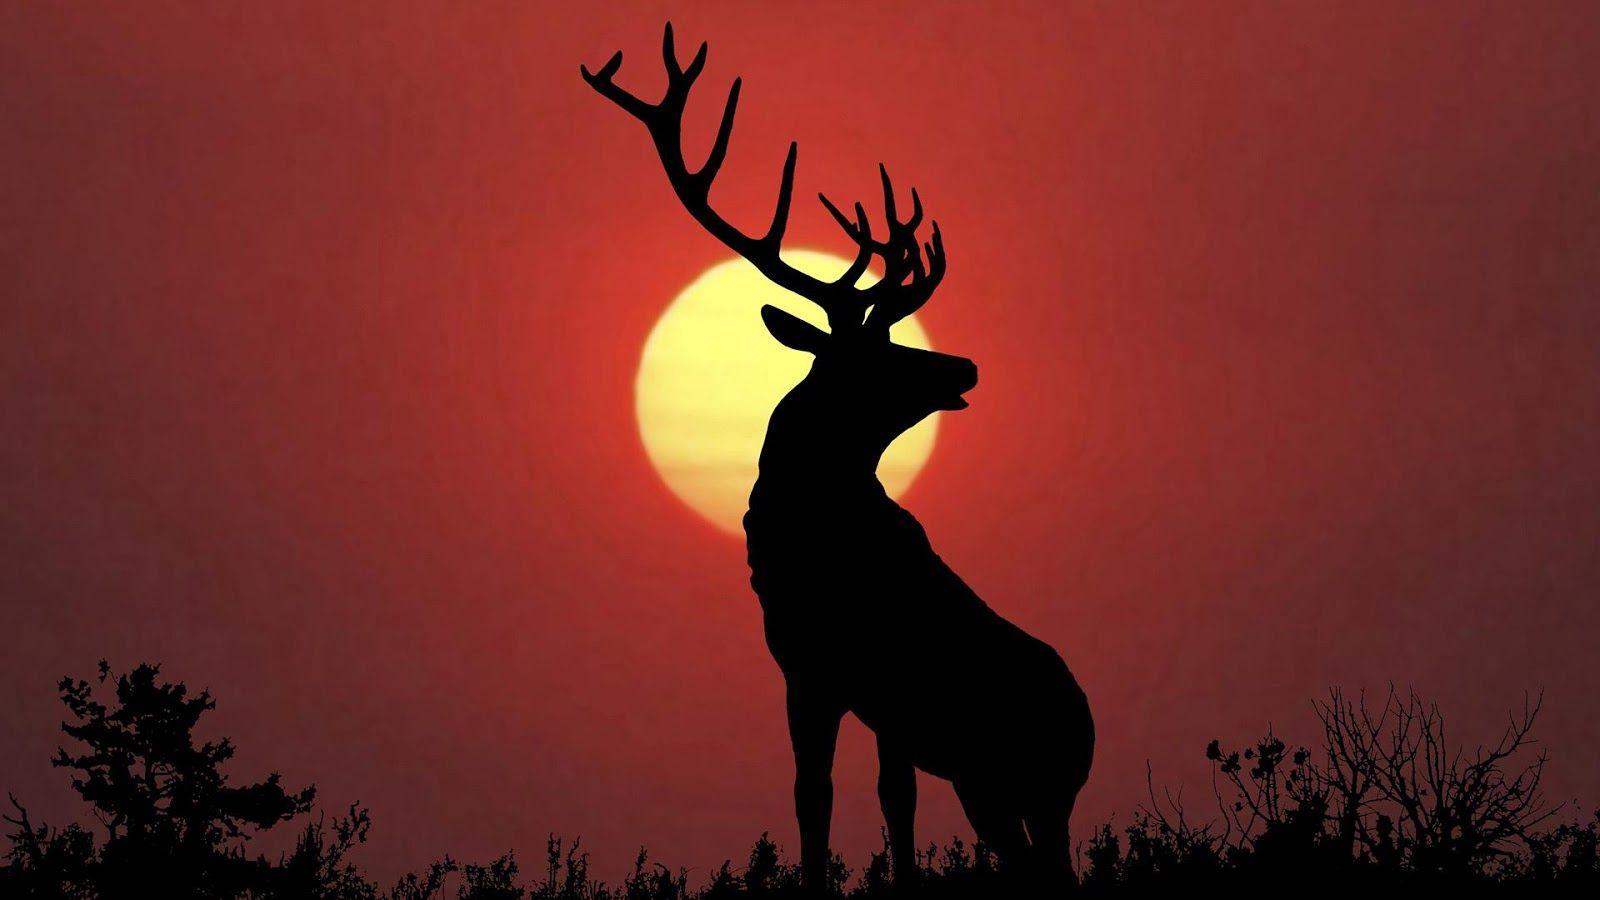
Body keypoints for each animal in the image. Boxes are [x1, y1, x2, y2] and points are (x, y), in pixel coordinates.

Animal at [583, 25, 1094, 893]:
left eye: (896, 339)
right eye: (871, 353)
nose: (963, 366)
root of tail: (1086, 728)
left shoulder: (849, 667)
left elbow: (855, 797)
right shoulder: (830, 677)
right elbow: (850, 796)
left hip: (1014, 782)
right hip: (1007, 790)